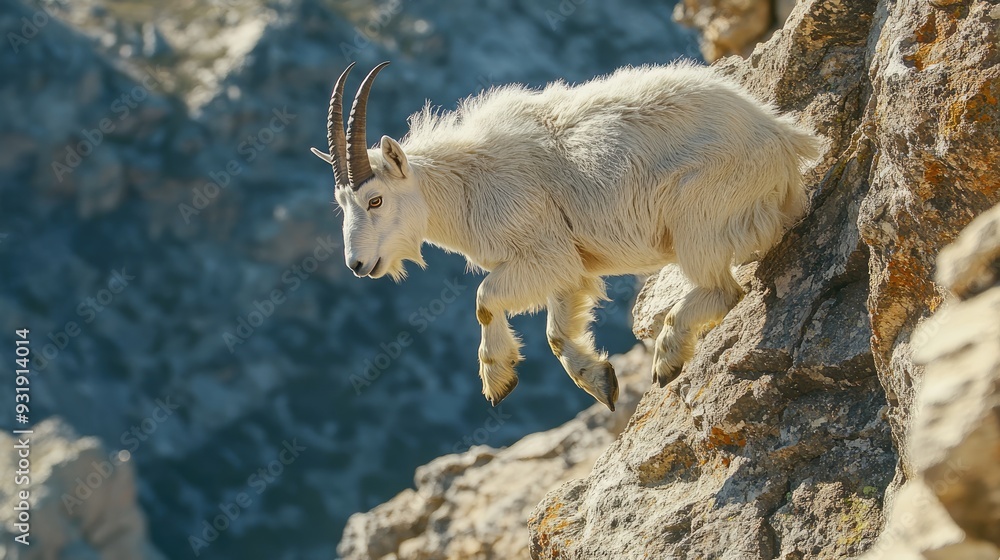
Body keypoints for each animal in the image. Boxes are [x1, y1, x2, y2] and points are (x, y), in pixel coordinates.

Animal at [311, 61, 821, 411]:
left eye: (375, 200)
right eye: (340, 205)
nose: (358, 265)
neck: (468, 182)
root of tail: (785, 141)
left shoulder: (542, 252)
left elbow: (483, 301)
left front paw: (497, 380)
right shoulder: (570, 265)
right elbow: (558, 332)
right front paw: (601, 381)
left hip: (700, 215)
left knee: (722, 289)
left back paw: (668, 358)